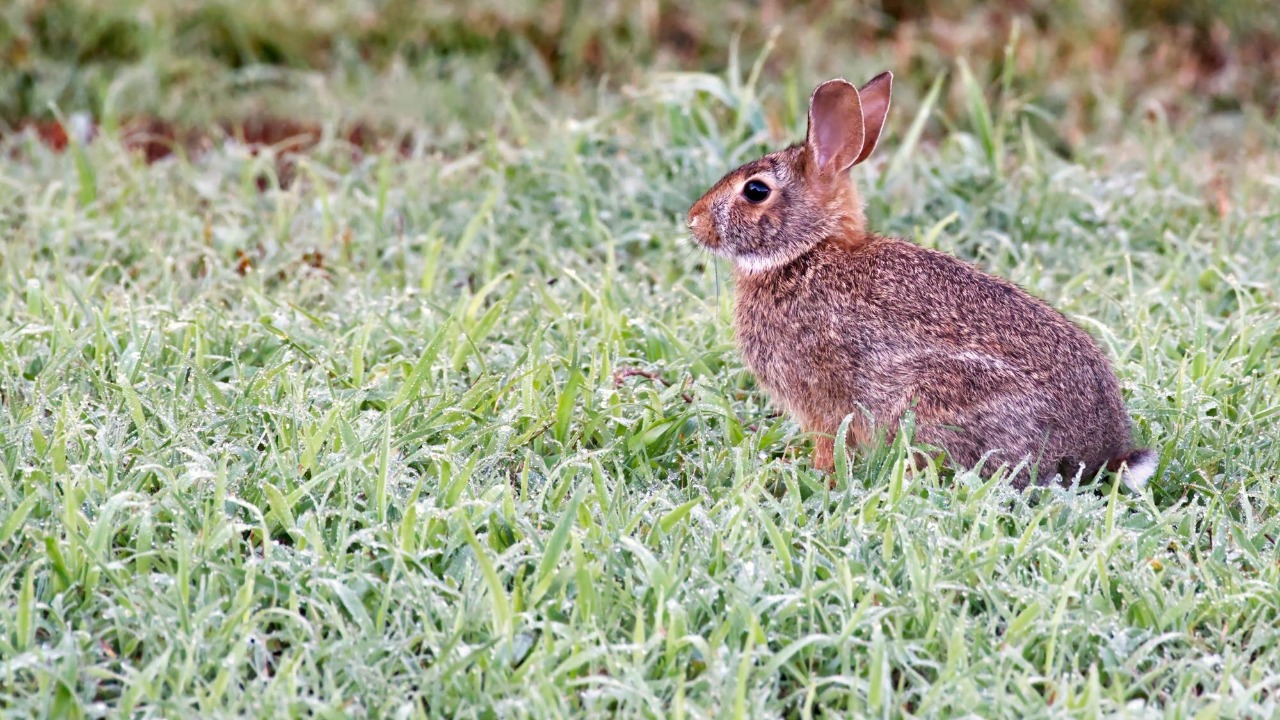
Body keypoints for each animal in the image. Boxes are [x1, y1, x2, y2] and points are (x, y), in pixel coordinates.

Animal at [686, 72, 1156, 491]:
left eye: (756, 191)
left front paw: (816, 476)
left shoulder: (822, 402)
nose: (694, 220)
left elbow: (828, 445)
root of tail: (1099, 455)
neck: (806, 253)